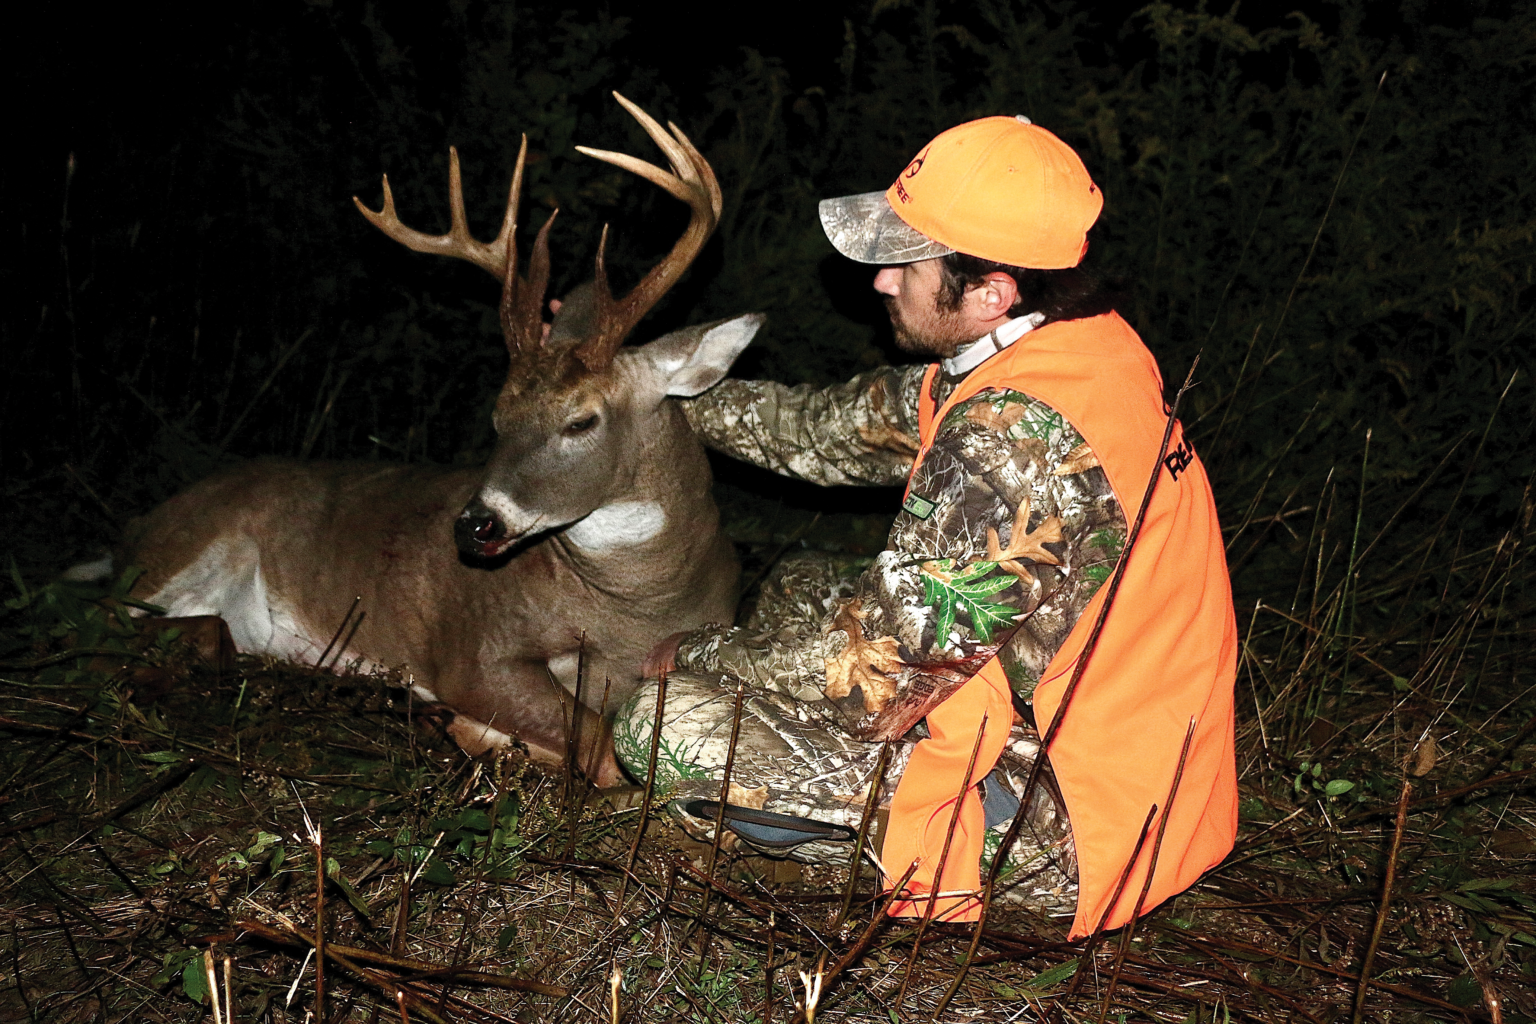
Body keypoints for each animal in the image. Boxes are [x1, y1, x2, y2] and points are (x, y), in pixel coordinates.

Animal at [110, 94, 761, 785]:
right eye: (498, 416)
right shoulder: (472, 649)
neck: (635, 610)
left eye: (580, 420)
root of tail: (139, 525)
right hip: (182, 548)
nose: (474, 526)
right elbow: (598, 746)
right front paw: (465, 727)